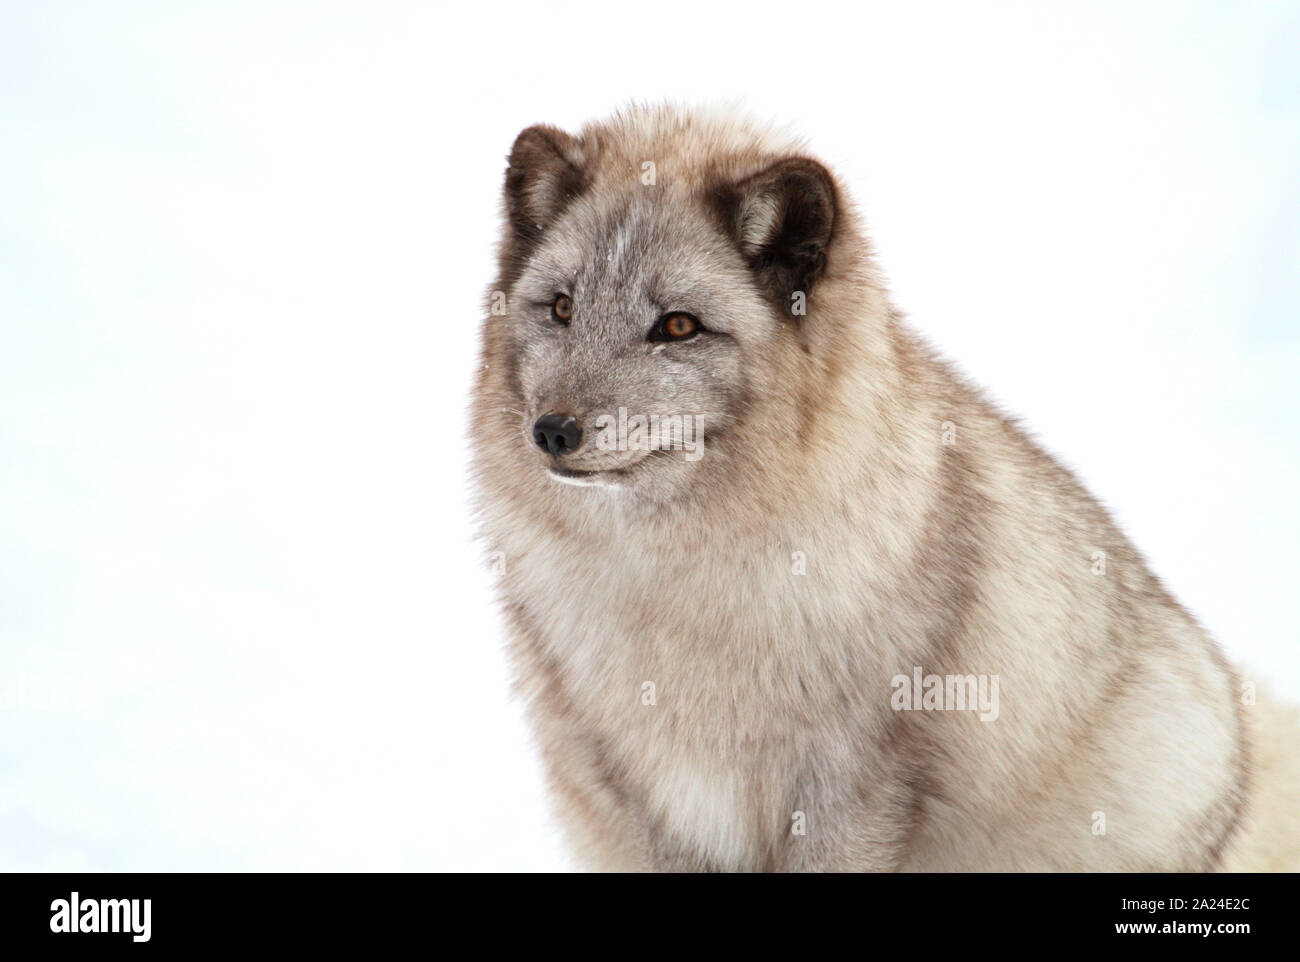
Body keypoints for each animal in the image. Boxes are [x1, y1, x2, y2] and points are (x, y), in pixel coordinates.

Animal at [470, 104, 1299, 872]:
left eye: (677, 326)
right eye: (563, 307)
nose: (553, 432)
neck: (666, 590)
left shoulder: (852, 783)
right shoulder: (641, 794)